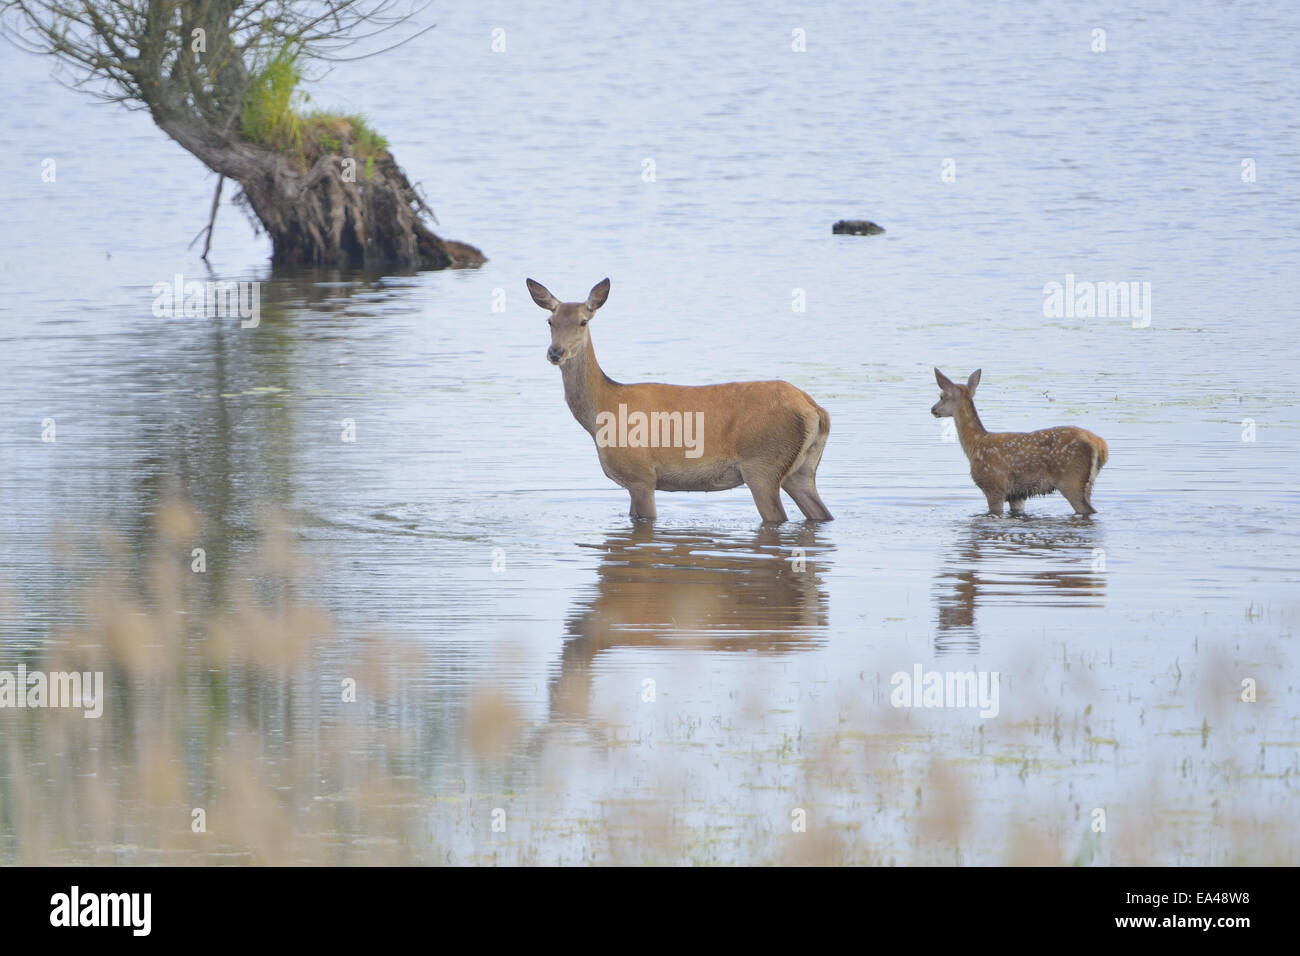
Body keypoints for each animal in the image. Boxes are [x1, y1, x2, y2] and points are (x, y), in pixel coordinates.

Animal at [526, 277, 833, 523]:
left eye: (583, 321)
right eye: (550, 321)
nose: (555, 352)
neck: (602, 410)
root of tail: (815, 410)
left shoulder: (641, 475)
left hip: (763, 465)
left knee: (778, 516)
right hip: (801, 470)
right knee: (821, 514)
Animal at [931, 368, 1108, 517]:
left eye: (941, 396)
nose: (933, 409)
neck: (974, 444)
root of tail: (1100, 445)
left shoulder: (993, 486)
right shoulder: (1017, 494)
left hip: (1071, 480)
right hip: (1088, 483)